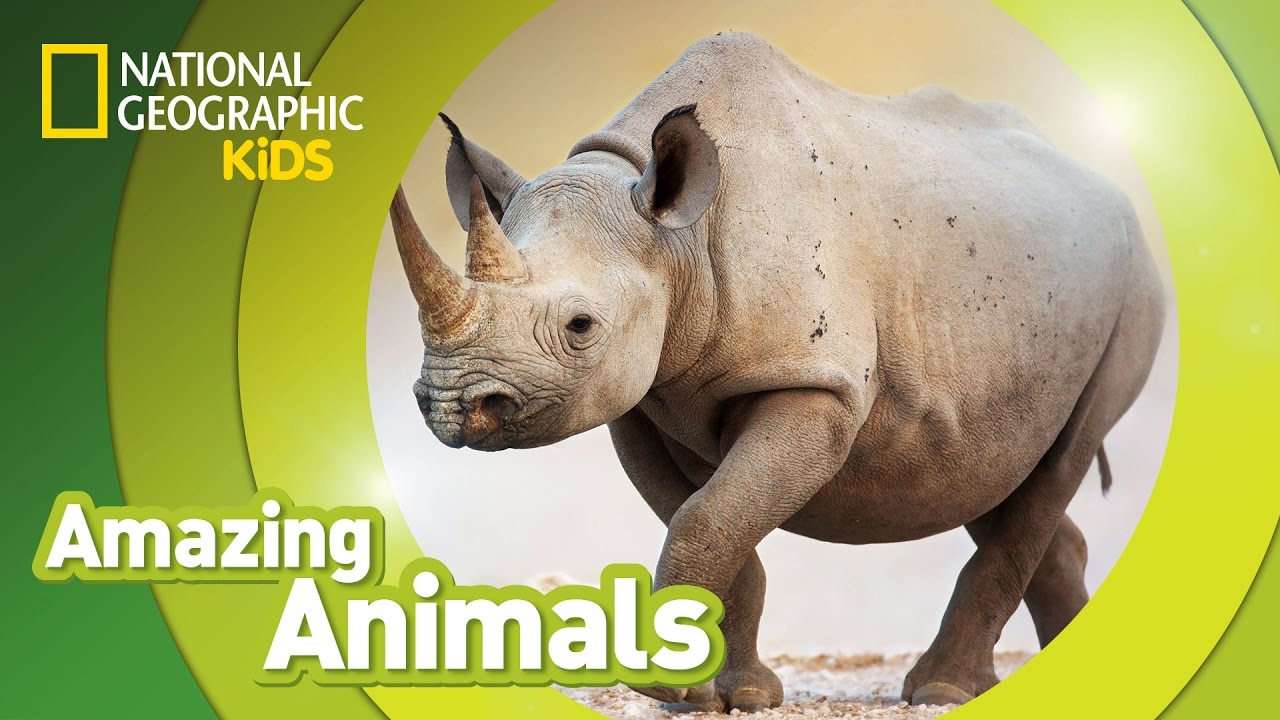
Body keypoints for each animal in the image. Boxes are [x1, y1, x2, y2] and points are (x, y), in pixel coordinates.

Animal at [388, 32, 1164, 712]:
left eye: (580, 327)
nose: (453, 406)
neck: (677, 238)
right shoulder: (640, 400)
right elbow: (712, 522)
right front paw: (726, 697)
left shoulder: (815, 383)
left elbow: (709, 518)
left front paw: (669, 689)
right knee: (992, 470)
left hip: (1133, 289)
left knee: (1060, 457)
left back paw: (943, 692)